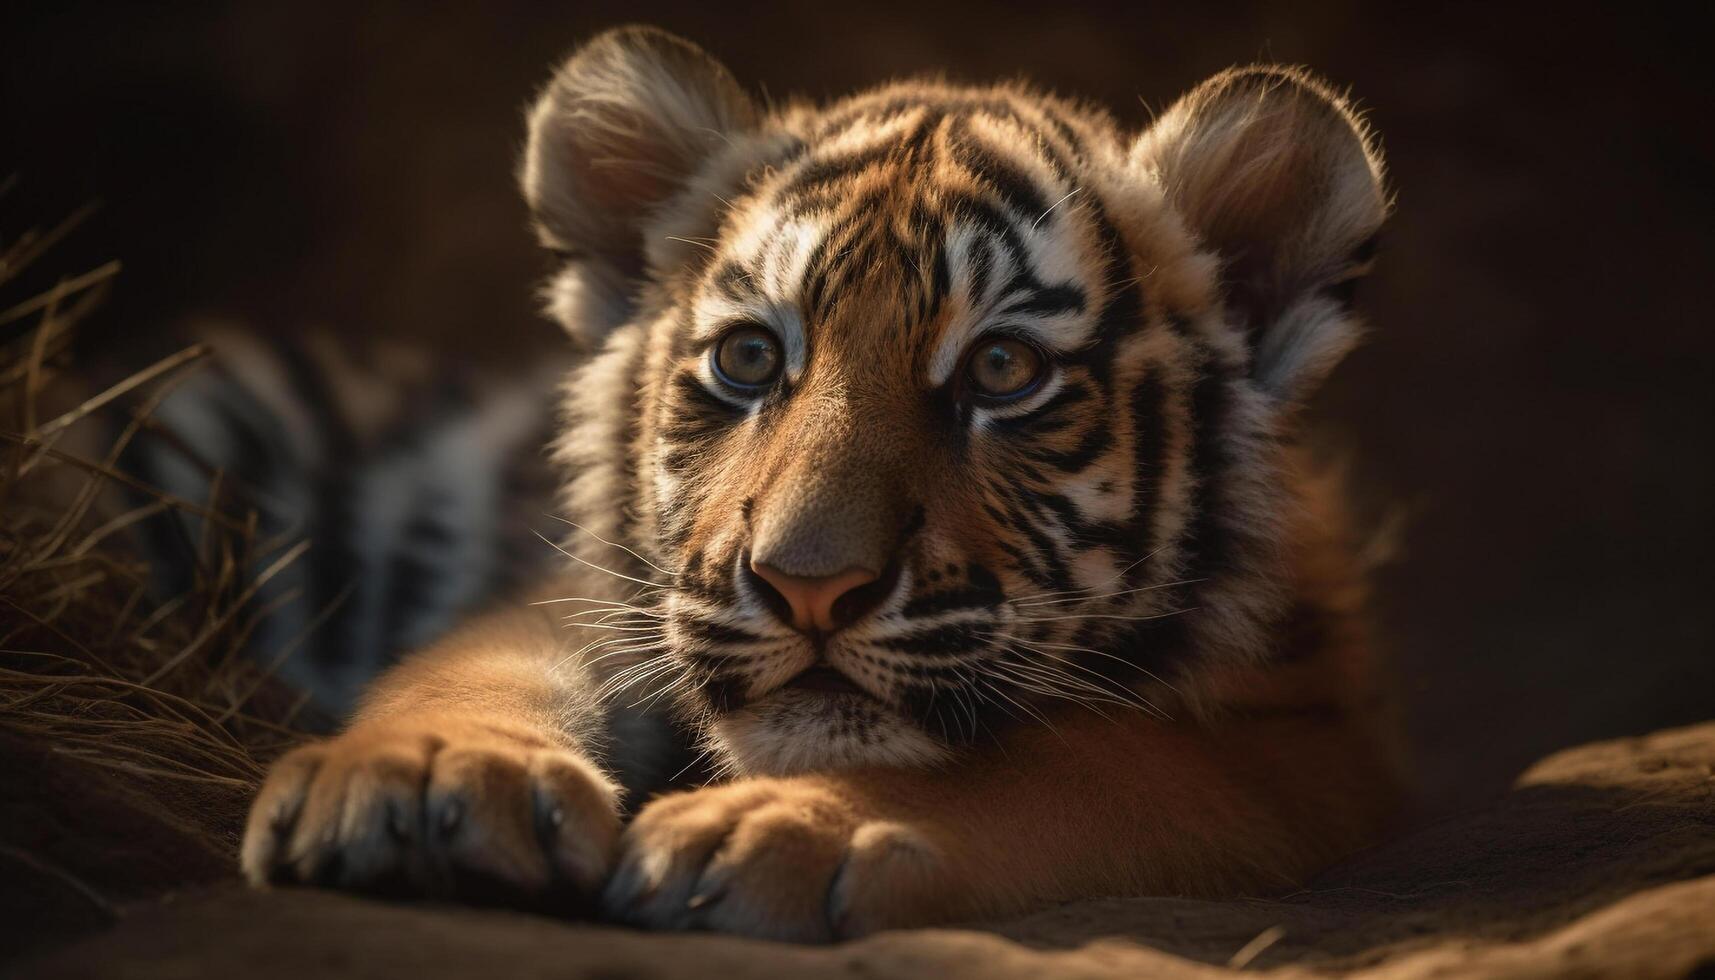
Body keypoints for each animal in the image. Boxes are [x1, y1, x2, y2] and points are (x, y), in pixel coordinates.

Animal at [236, 25, 1403, 940]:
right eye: (750, 358)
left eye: (1001, 369)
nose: (808, 586)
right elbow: (479, 660)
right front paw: (421, 772)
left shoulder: (1310, 741)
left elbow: (1087, 766)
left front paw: (772, 828)